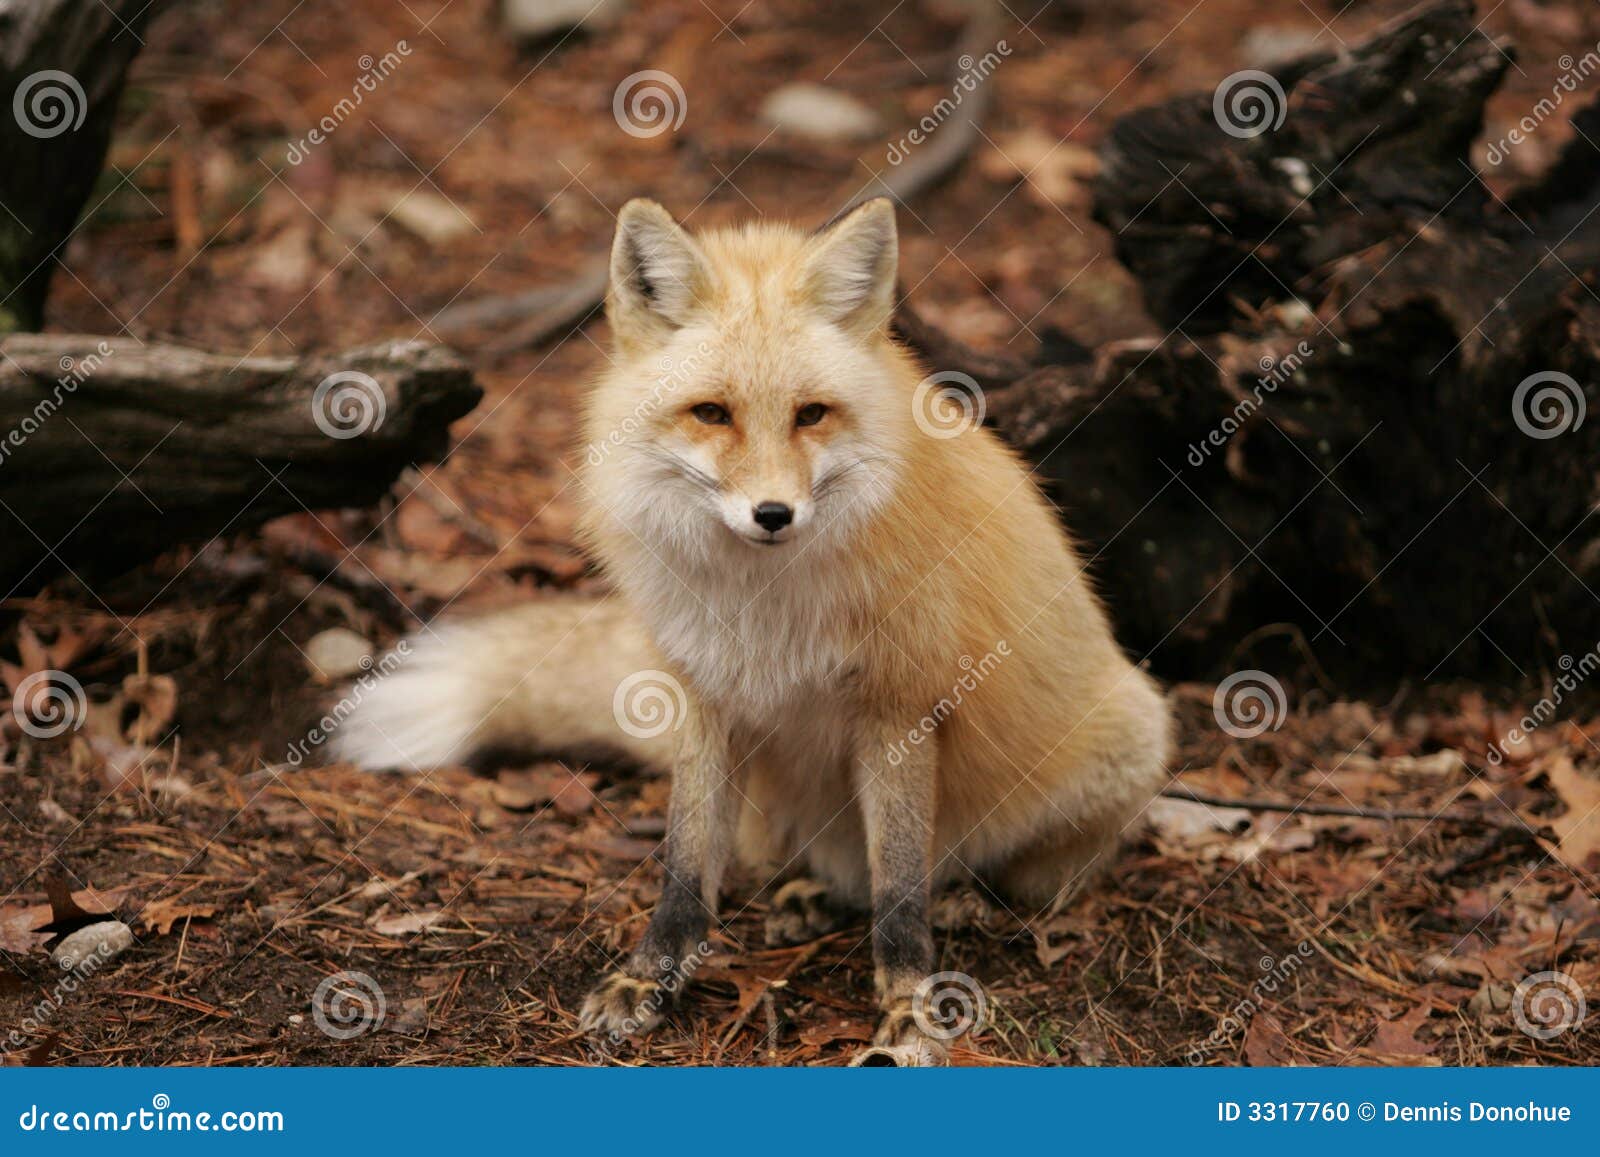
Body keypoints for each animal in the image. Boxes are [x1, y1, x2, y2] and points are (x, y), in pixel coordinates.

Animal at [333, 197, 1172, 1065]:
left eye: (811, 415)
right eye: (712, 413)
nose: (774, 514)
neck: (761, 608)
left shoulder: (899, 708)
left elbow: (901, 890)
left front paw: (909, 1002)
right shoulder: (706, 697)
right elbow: (683, 867)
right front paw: (651, 978)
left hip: (1122, 743)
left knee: (1005, 877)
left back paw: (970, 900)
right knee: (831, 870)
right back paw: (814, 894)